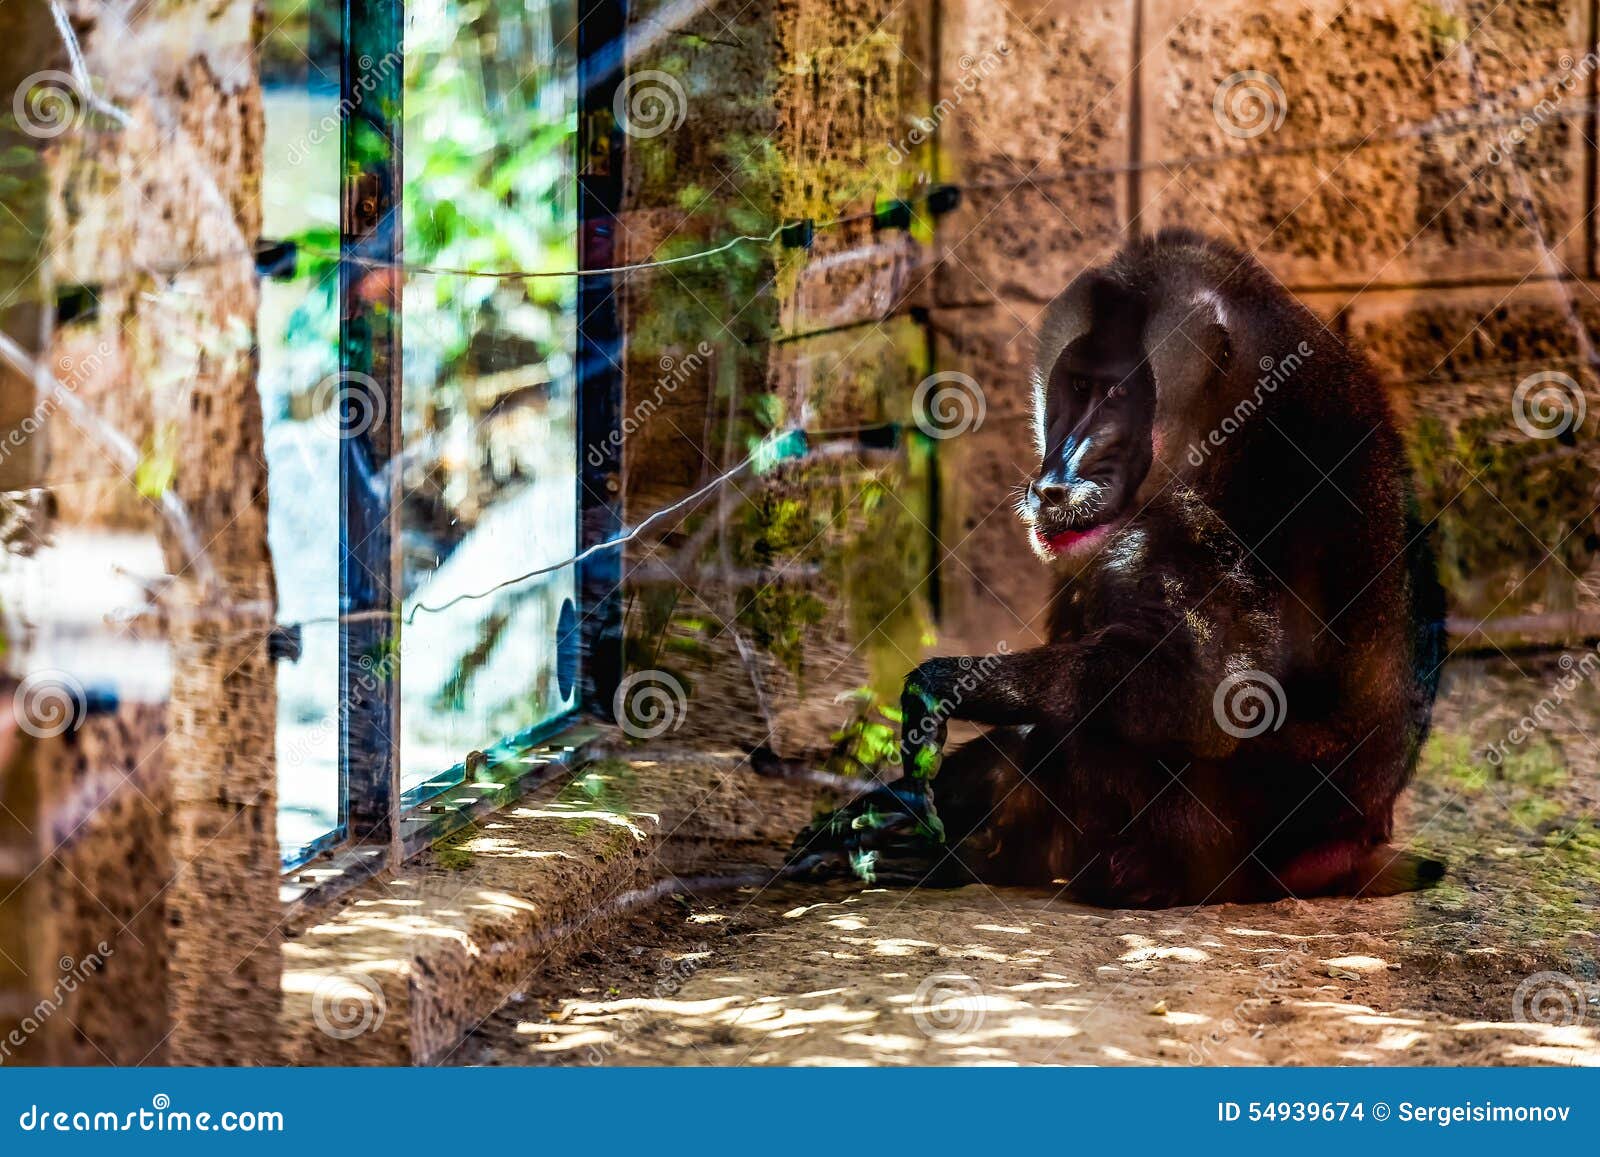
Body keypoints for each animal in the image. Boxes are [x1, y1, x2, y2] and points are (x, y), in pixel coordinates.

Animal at [780, 229, 1447, 907]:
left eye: (1121, 394)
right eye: (1078, 386)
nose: (1053, 482)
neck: (1225, 410)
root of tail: (1353, 846)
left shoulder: (1225, 496)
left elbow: (1216, 691)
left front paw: (945, 686)